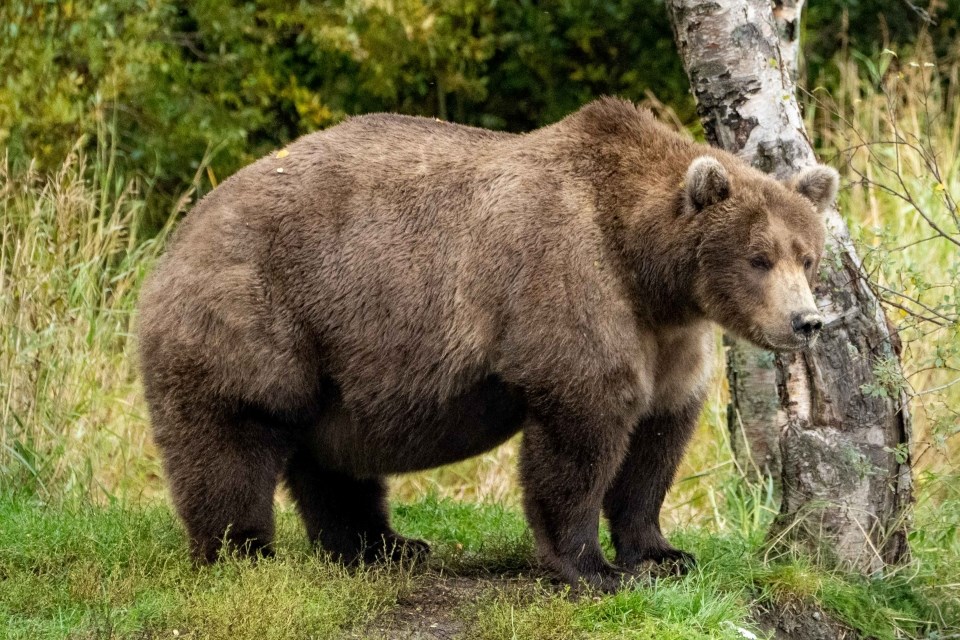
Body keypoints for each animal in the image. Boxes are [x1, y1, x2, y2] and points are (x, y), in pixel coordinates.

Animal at [138, 96, 838, 591]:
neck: (648, 271)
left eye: (808, 256)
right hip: (255, 313)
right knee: (231, 436)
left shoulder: (671, 339)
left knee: (332, 455)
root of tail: (179, 235)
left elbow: (657, 439)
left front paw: (663, 554)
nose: (806, 321)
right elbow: (581, 433)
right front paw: (593, 567)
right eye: (758, 258)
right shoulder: (568, 283)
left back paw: (385, 546)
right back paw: (243, 552)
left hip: (337, 356)